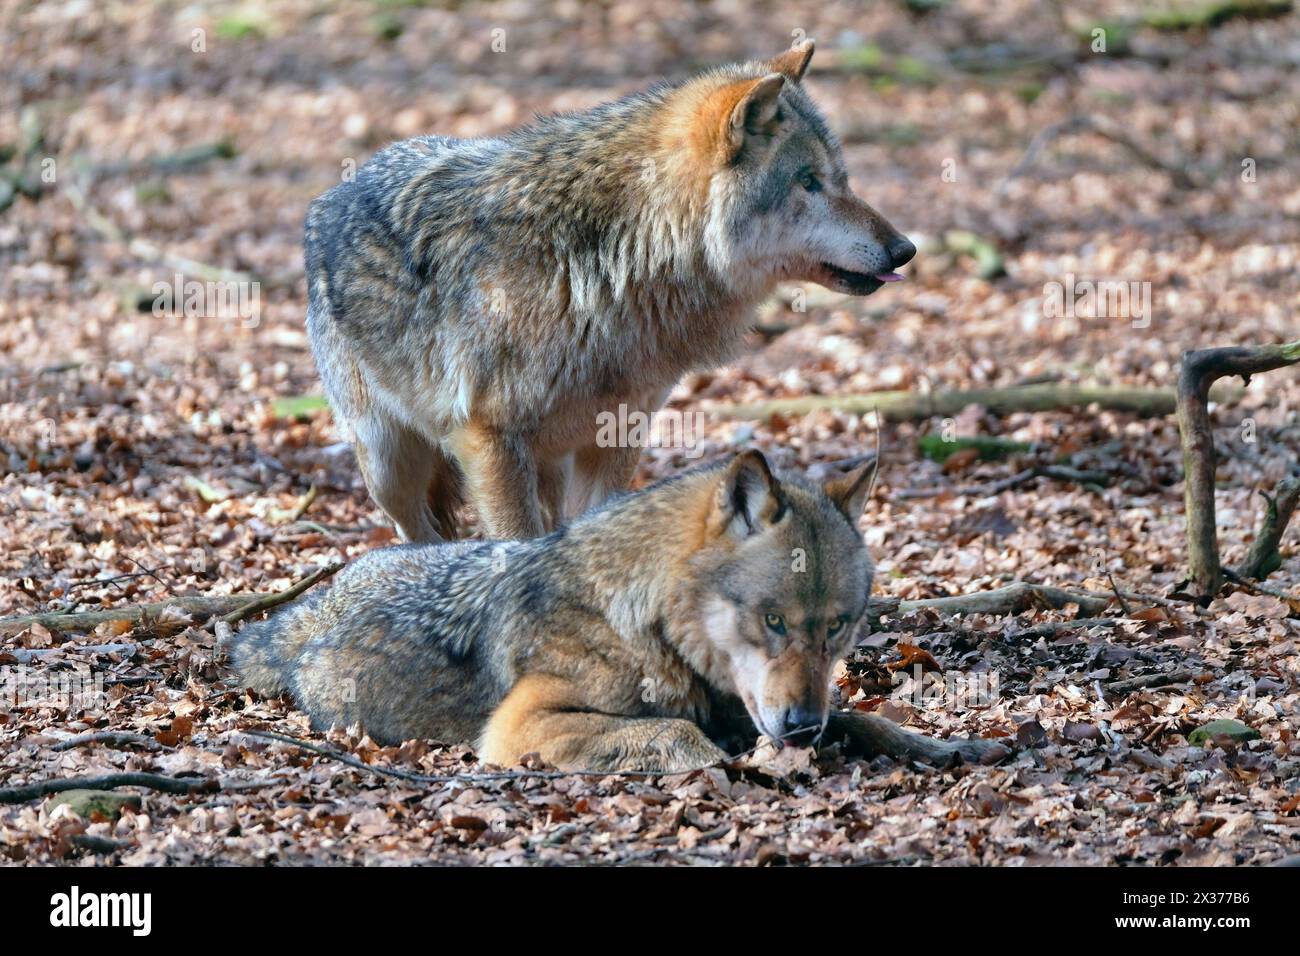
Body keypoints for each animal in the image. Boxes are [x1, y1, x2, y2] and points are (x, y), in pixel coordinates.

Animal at [229, 451, 1000, 772]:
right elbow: (678, 733)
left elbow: (866, 717)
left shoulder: (758, 704)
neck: (645, 627)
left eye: (836, 627)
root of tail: (313, 605)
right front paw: (741, 765)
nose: (801, 727)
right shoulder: (516, 728)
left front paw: (946, 746)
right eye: (773, 621)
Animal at [305, 40, 916, 542]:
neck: (613, 262)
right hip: (389, 464)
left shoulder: (618, 434)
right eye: (809, 182)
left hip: (545, 463)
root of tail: (335, 190)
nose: (905, 250)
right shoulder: (490, 441)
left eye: (841, 179)